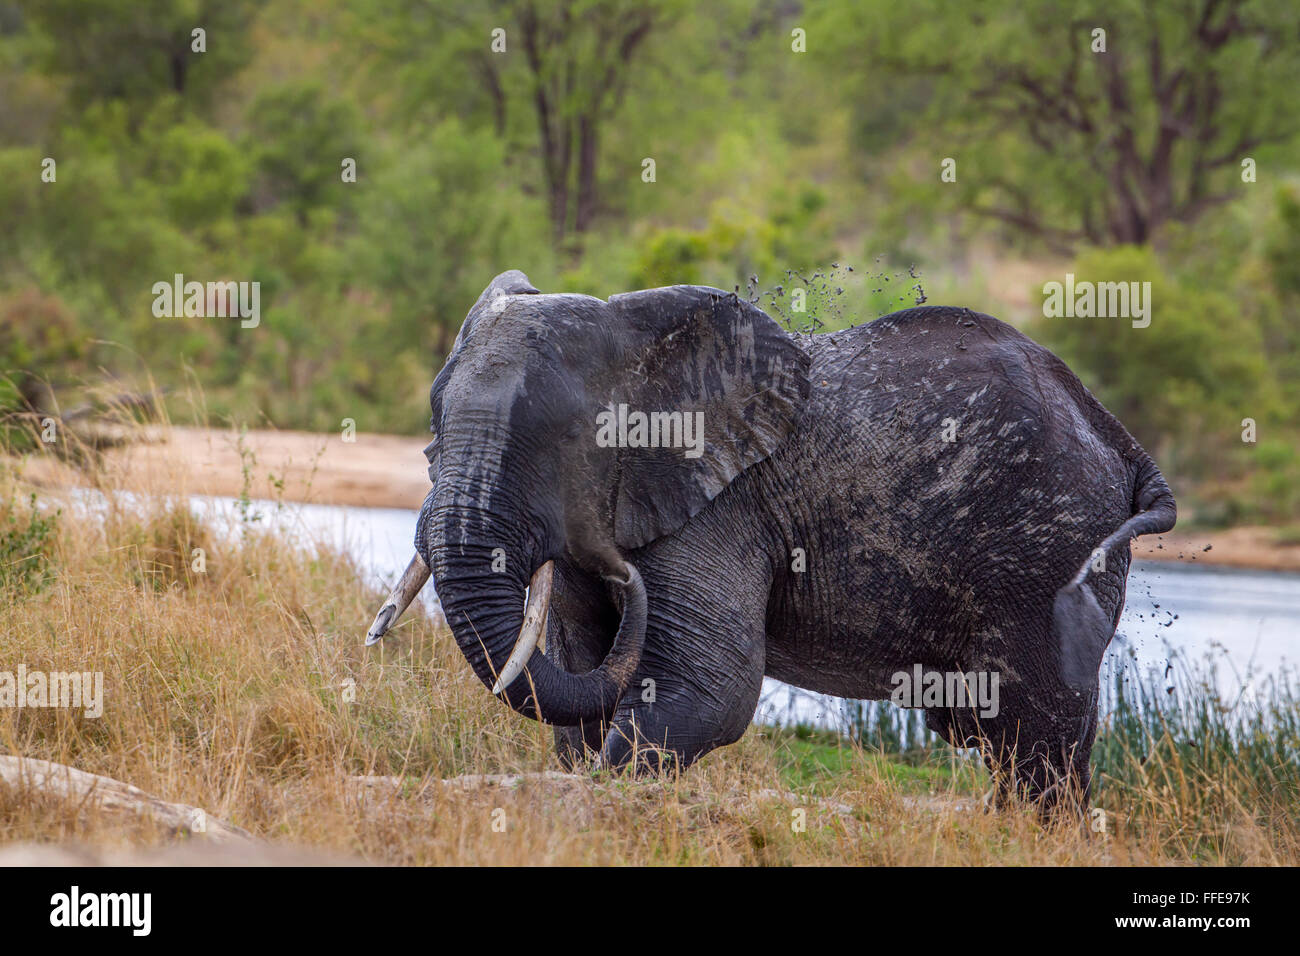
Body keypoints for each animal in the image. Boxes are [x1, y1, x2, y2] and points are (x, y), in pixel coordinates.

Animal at [365, 270, 1176, 813]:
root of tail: (1121, 441)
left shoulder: (723, 507)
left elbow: (711, 690)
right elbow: (577, 672)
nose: (625, 578)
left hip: (1047, 550)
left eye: (557, 440)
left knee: (1038, 731)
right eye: (435, 419)